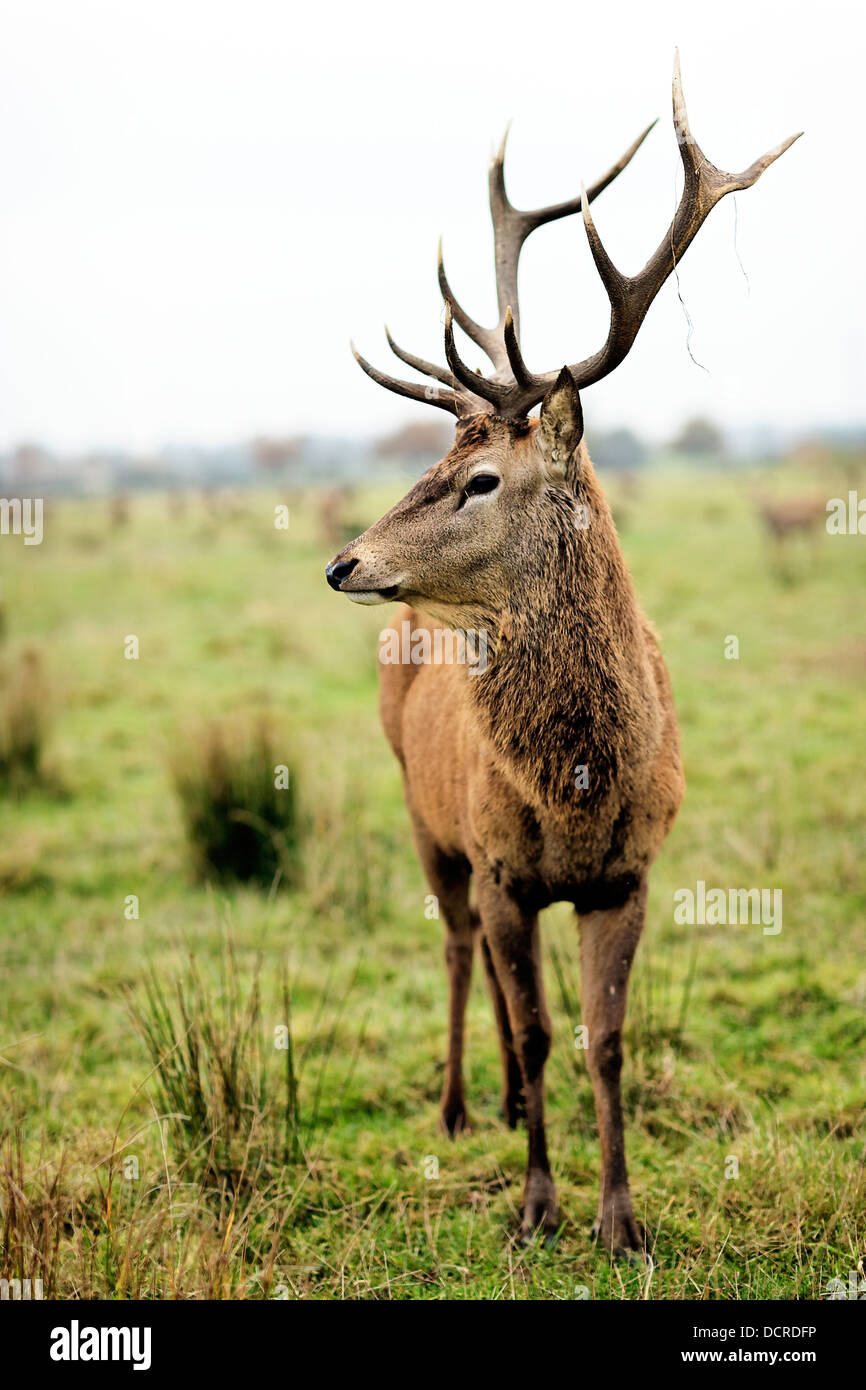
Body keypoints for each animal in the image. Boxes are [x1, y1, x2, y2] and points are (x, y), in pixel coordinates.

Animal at [326, 55, 799, 1255]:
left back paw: (495, 1100)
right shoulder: (500, 862)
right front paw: (537, 1206)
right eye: (438, 461)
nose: (343, 561)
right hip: (422, 815)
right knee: (460, 955)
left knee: (503, 984)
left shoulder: (627, 873)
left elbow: (603, 1041)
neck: (577, 789)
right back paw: (461, 1105)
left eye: (481, 477)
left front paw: (621, 1218)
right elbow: (544, 1032)